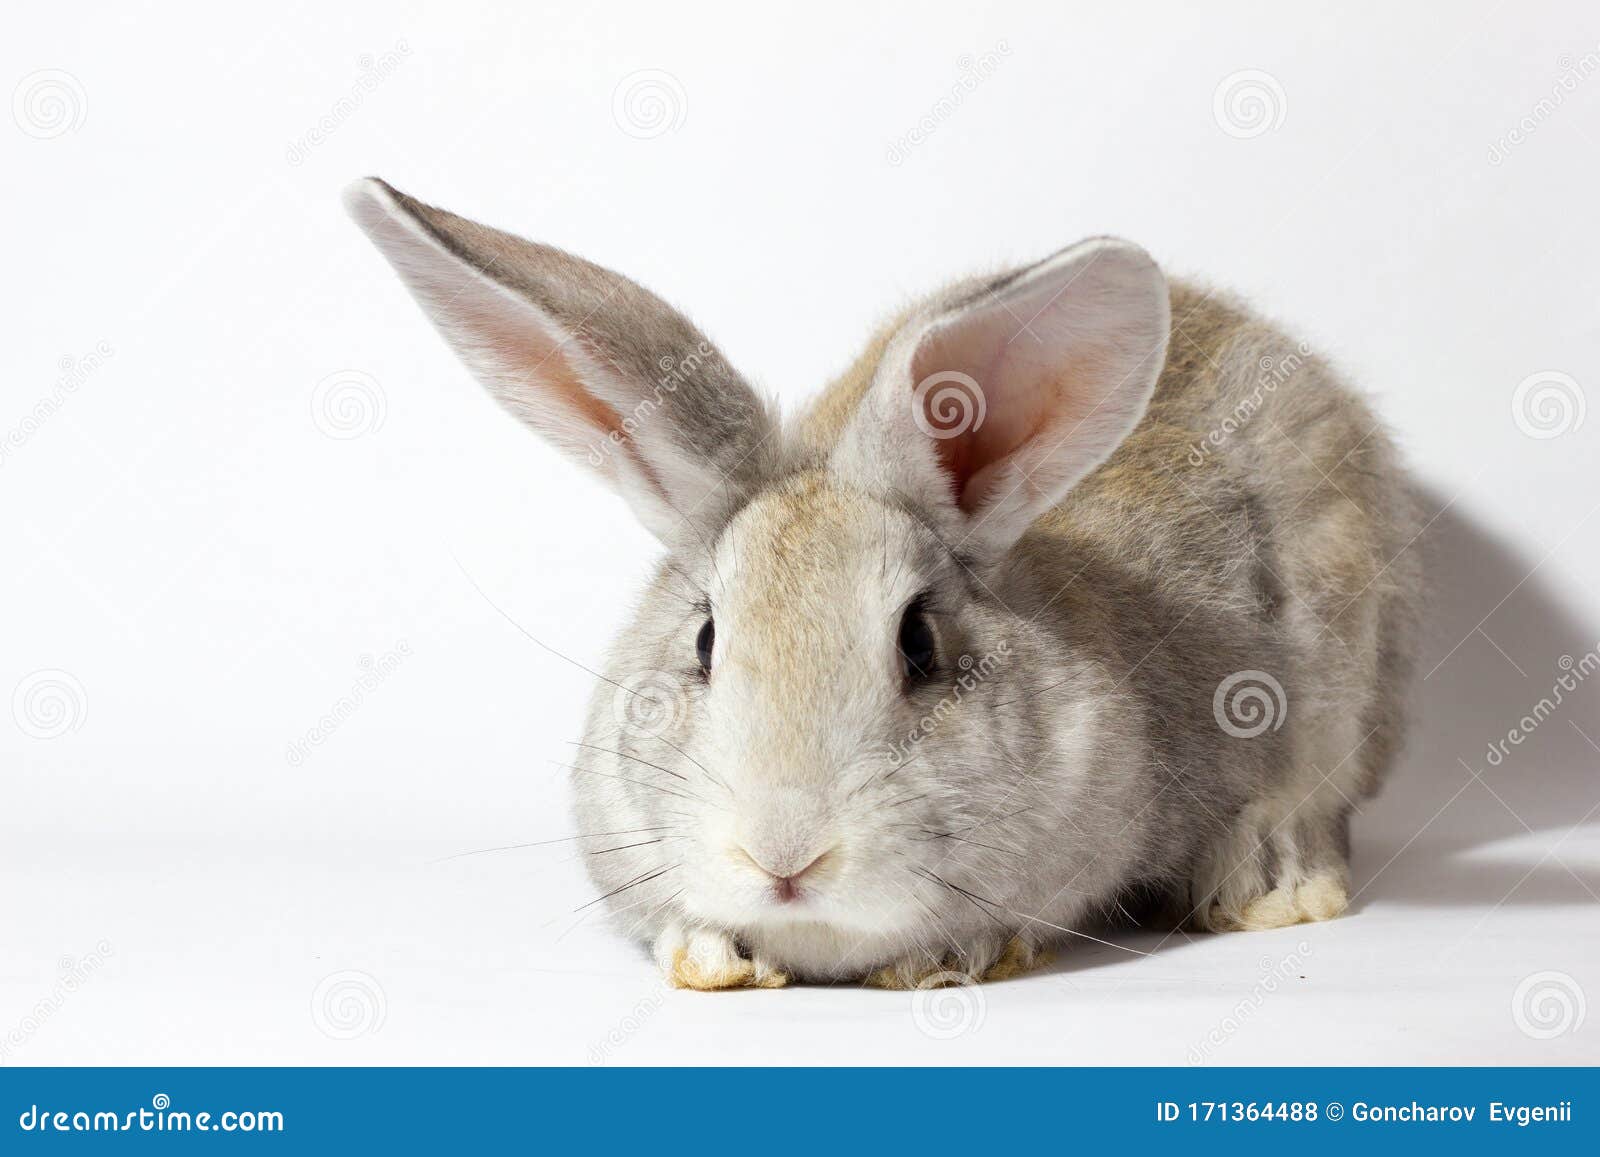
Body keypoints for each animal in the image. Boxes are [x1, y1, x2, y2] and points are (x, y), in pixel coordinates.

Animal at [345, 177, 1420, 990]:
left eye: (919, 643)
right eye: (703, 640)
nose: (783, 856)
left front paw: (950, 956)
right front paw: (708, 953)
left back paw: (1273, 886)